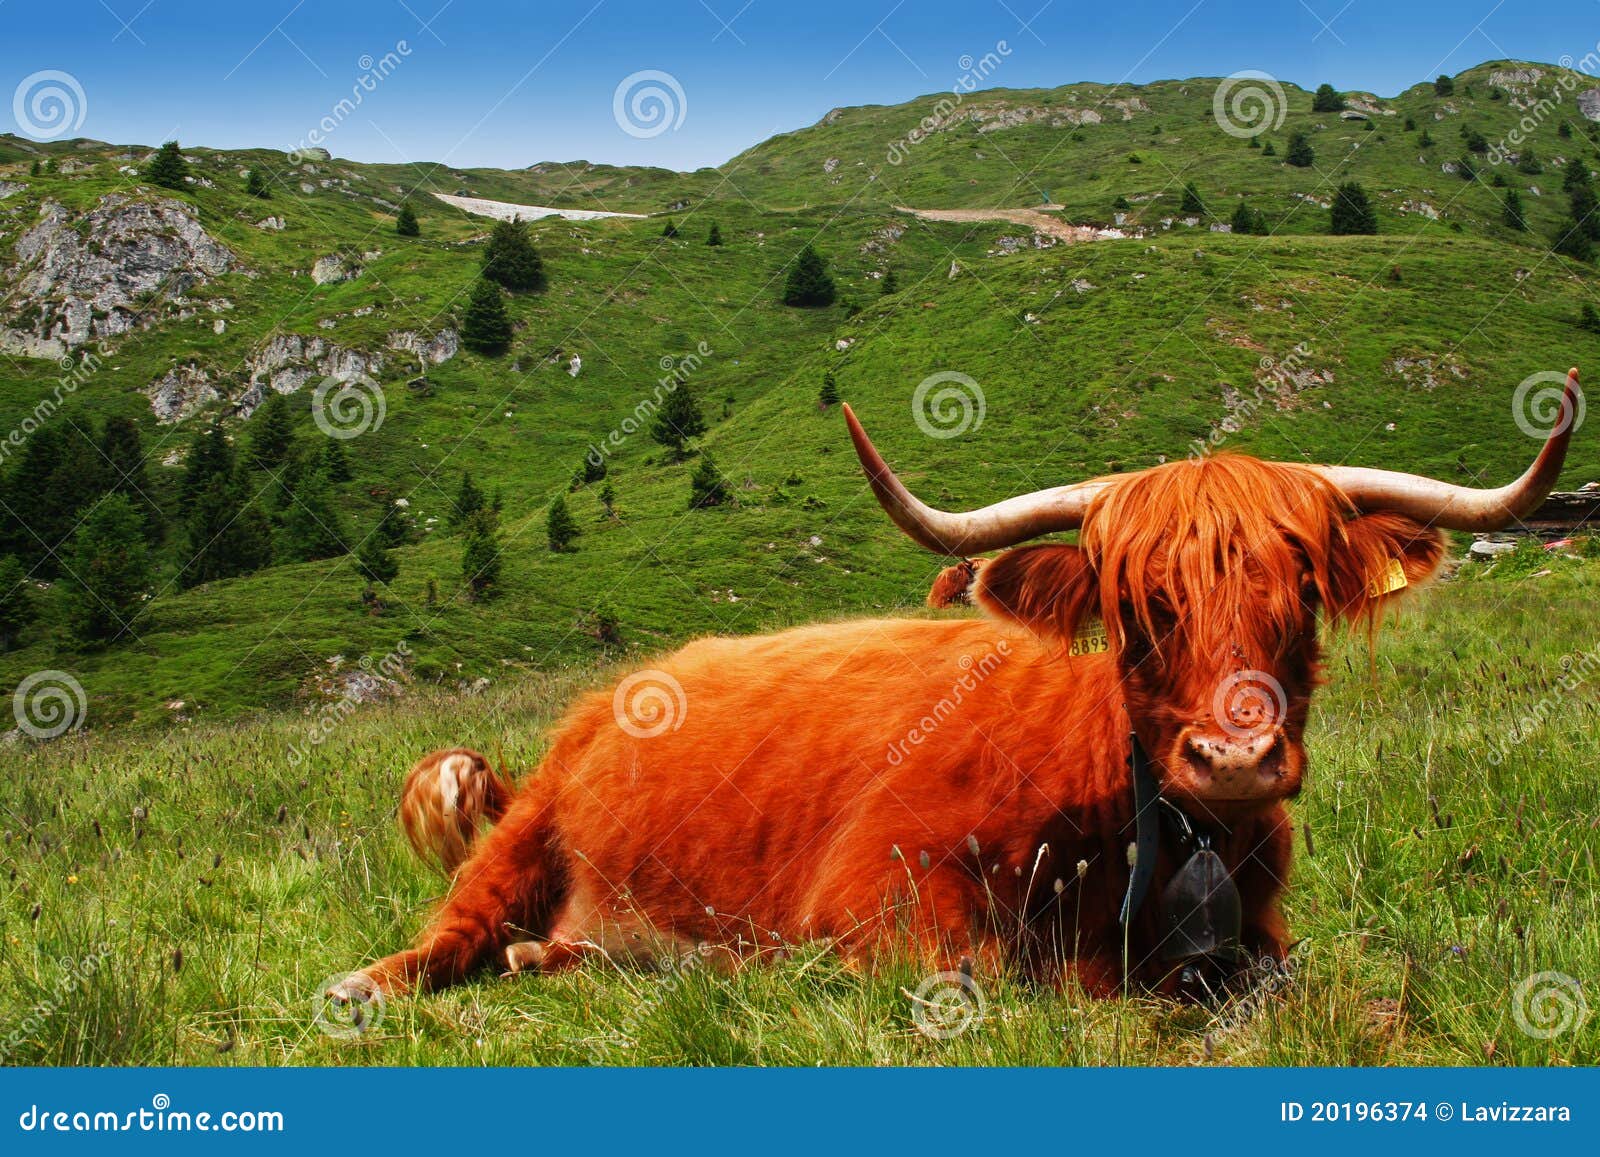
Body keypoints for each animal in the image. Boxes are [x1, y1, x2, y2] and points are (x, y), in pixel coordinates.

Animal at [334, 369, 1577, 1004]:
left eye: (1303, 586)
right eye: (1135, 603)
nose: (1235, 757)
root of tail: (632, 680)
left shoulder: (1265, 927)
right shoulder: (879, 885)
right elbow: (979, 975)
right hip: (525, 833)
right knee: (451, 935)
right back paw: (373, 982)